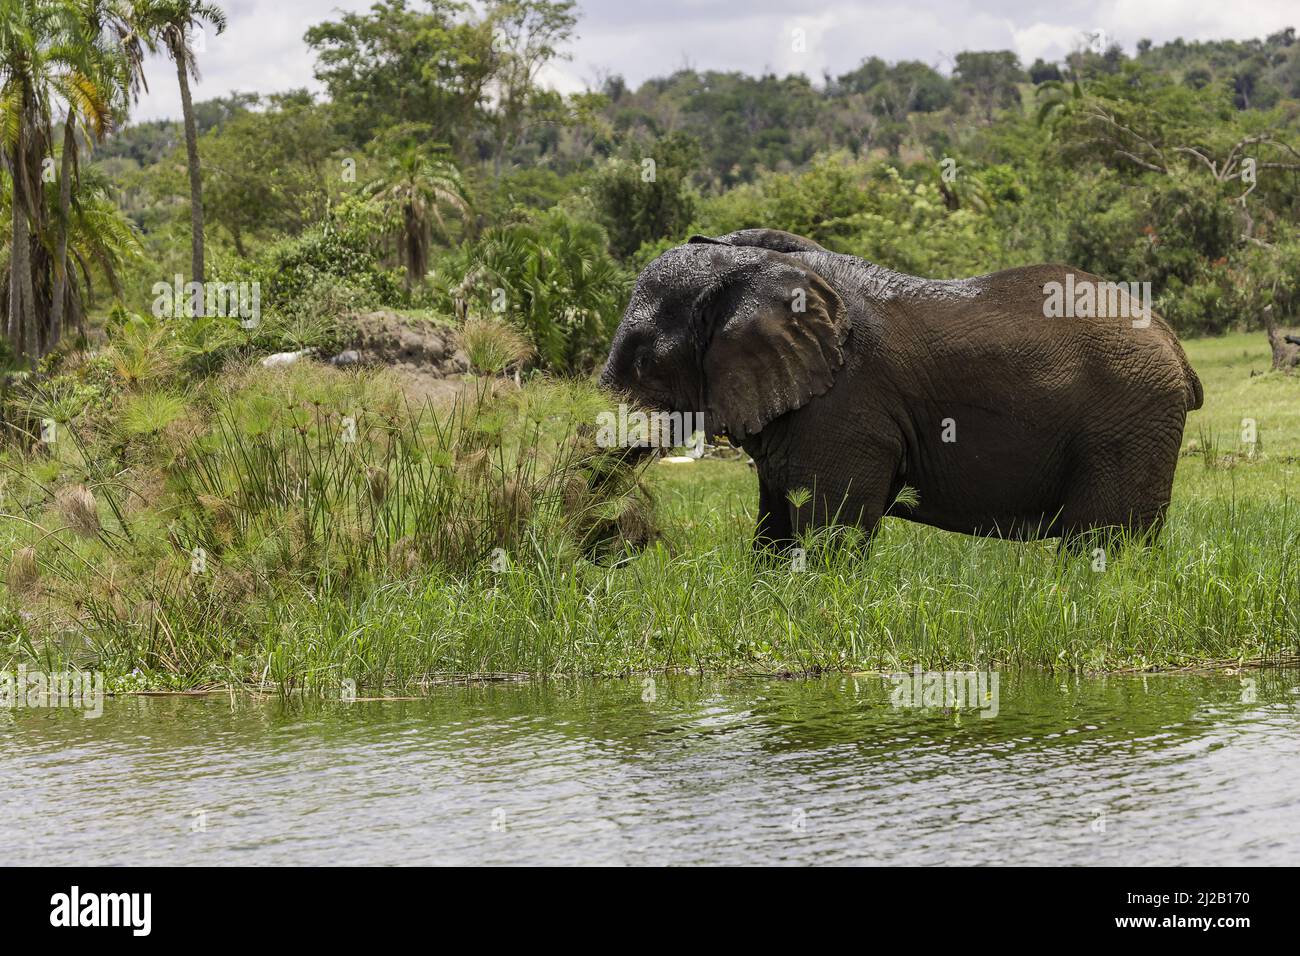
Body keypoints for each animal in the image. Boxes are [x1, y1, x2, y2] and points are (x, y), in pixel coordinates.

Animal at [598, 228, 1203, 552]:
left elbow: (831, 535)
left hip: (1127, 416)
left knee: (1102, 544)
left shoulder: (846, 404)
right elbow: (774, 532)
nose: (621, 547)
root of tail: (1171, 340)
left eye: (646, 363)